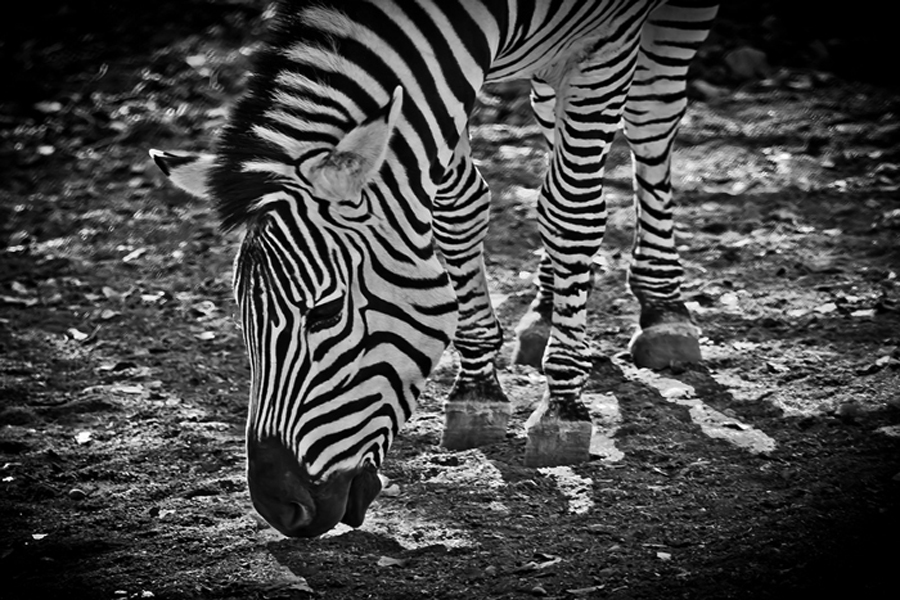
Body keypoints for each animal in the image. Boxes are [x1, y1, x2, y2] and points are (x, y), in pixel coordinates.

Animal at [151, 0, 718, 537]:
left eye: (325, 313)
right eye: (243, 318)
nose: (278, 509)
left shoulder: (604, 43)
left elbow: (570, 209)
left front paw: (562, 405)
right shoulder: (447, 74)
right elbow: (459, 207)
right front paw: (478, 387)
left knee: (651, 119)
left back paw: (664, 311)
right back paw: (543, 313)